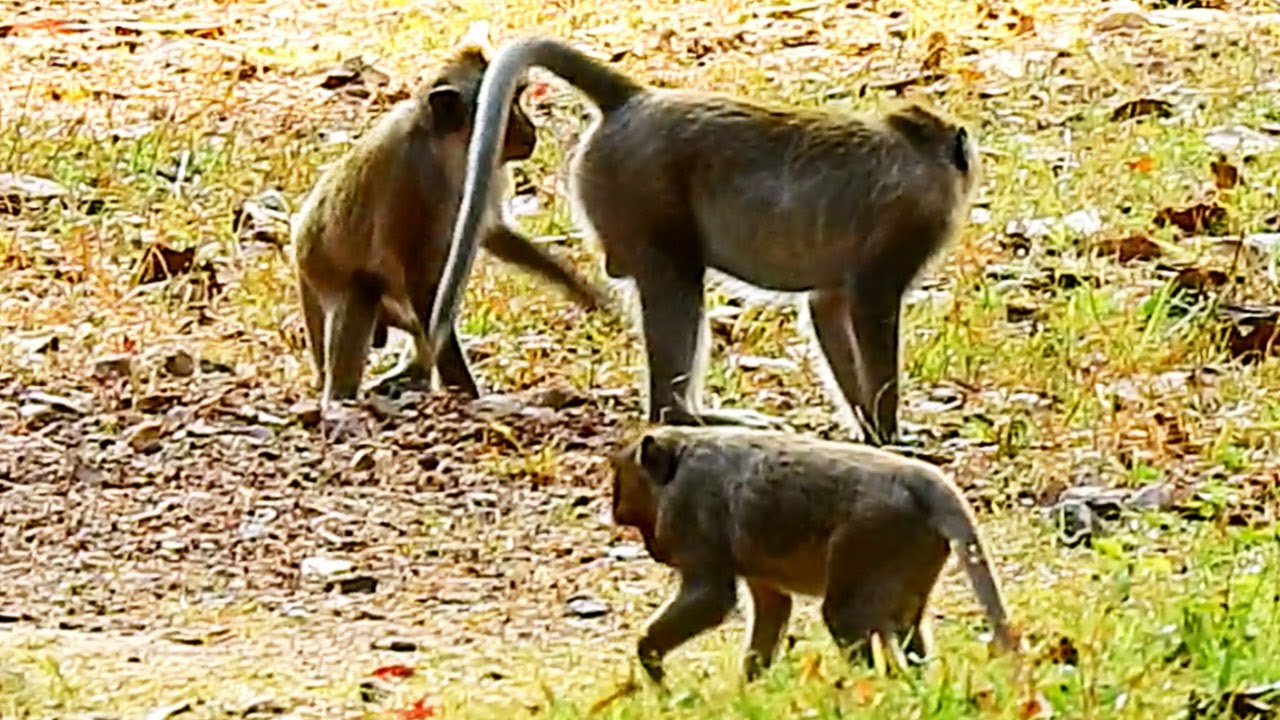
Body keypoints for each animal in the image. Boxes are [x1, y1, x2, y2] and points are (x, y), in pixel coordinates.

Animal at [291, 41, 609, 405]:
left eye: (518, 98)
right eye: (509, 105)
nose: (530, 129)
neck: (445, 147)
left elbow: (492, 234)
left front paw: (581, 288)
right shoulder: (415, 179)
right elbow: (423, 282)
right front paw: (466, 392)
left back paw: (411, 370)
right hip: (322, 272)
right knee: (364, 291)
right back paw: (343, 396)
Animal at [425, 36, 979, 445]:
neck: (917, 152)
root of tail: (636, 100)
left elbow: (826, 308)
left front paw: (868, 429)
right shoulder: (910, 224)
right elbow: (872, 307)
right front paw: (891, 433)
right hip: (638, 186)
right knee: (676, 280)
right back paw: (682, 415)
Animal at [608, 425, 1017, 684]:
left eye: (638, 520)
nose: (655, 550)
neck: (678, 462)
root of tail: (922, 479)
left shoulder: (690, 507)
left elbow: (712, 597)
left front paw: (650, 658)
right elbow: (773, 607)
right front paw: (749, 690)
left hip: (873, 534)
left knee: (844, 614)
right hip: (914, 543)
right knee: (906, 624)